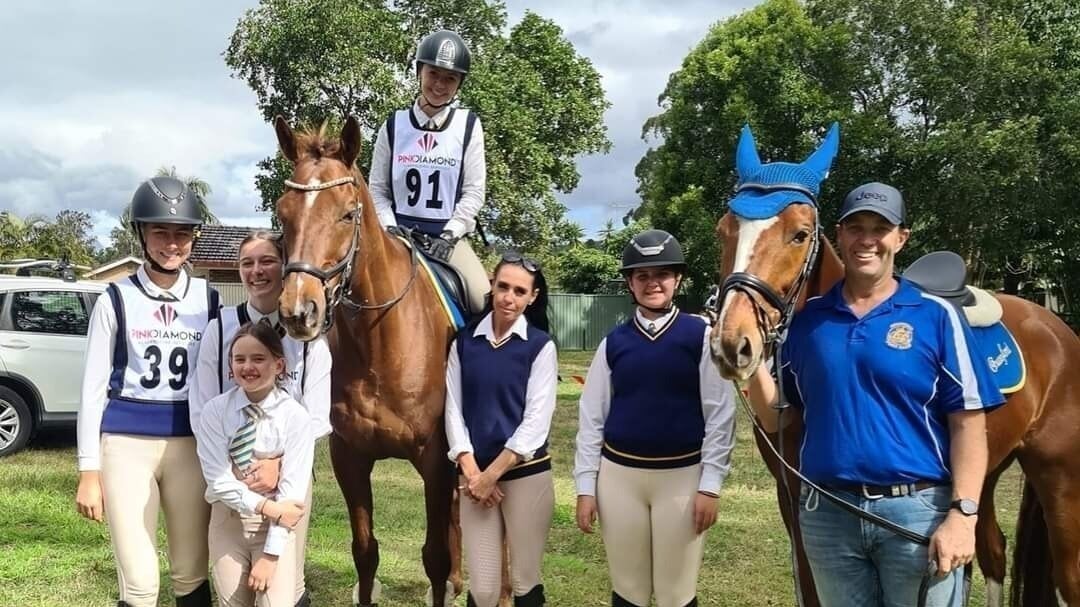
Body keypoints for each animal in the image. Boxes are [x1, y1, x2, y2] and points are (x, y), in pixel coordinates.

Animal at [272, 116, 464, 607]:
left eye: (345, 213)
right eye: (283, 214)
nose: (299, 311)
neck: (380, 345)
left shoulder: (435, 460)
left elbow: (434, 556)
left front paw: (444, 578)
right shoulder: (350, 457)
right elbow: (365, 552)